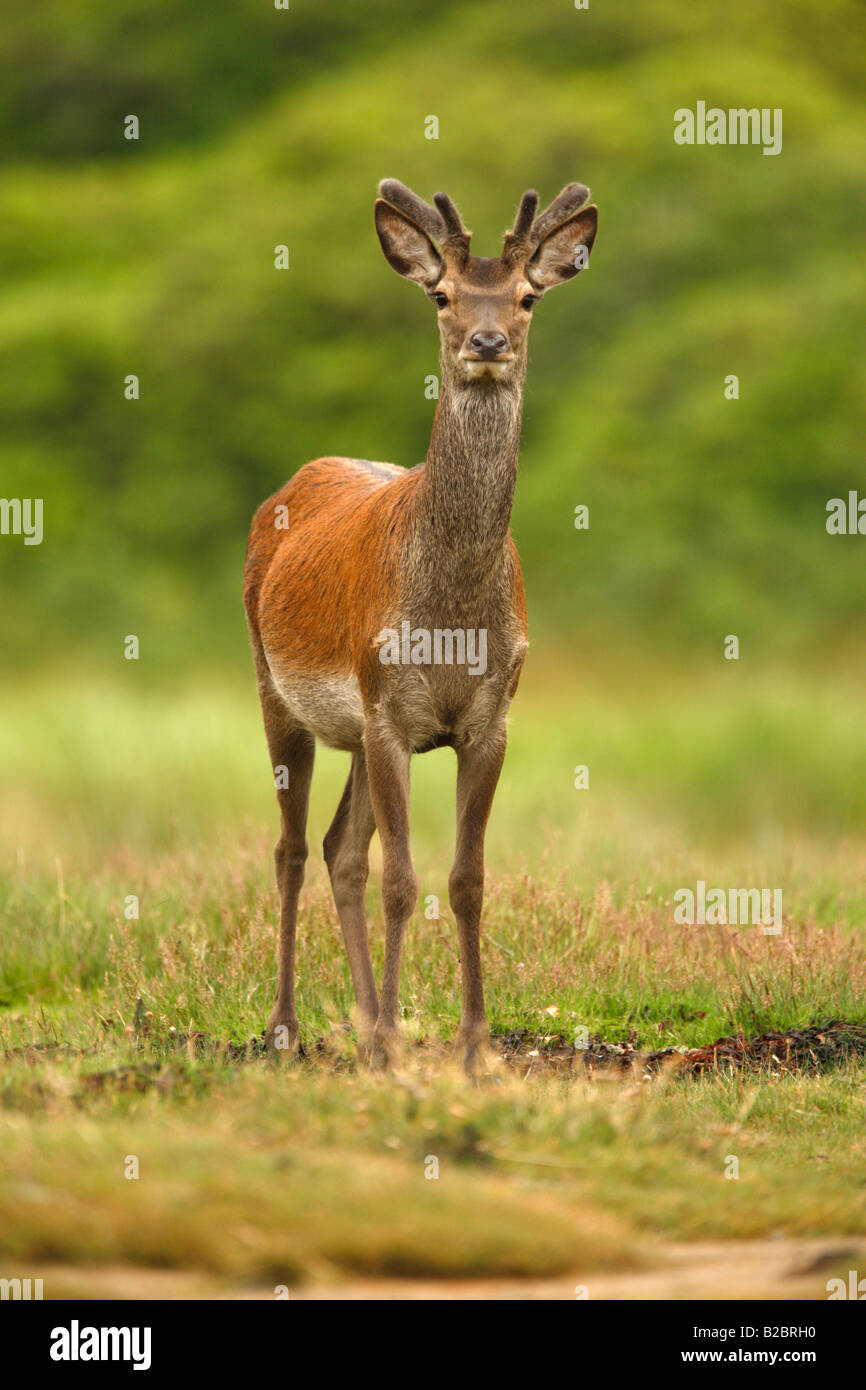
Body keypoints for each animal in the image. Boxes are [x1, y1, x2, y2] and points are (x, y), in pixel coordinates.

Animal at [243, 178, 598, 1070]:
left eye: (528, 295)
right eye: (442, 296)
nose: (486, 339)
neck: (451, 620)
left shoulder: (489, 718)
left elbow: (466, 880)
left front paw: (472, 1046)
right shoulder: (389, 713)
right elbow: (403, 880)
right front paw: (403, 1043)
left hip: (356, 730)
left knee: (340, 851)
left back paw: (366, 1024)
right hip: (277, 687)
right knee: (293, 849)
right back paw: (288, 1026)